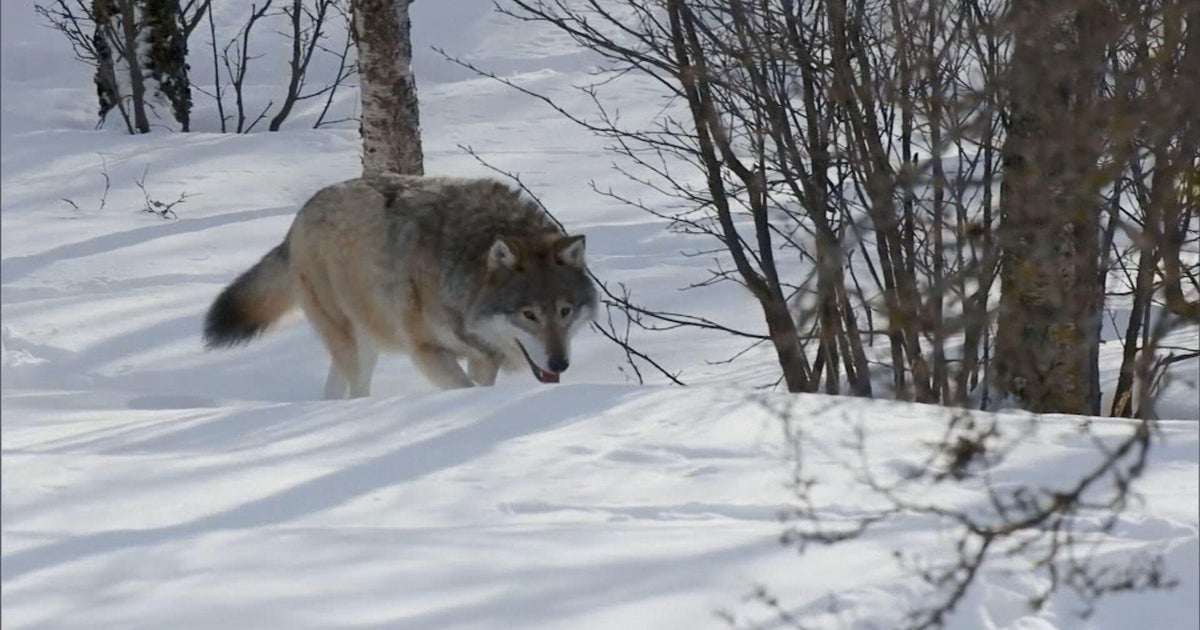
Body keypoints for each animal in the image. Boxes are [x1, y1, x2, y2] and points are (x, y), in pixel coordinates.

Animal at [203, 174, 598, 399]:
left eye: (565, 311)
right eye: (529, 314)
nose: (560, 363)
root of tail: (300, 215)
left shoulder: (484, 356)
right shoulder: (425, 351)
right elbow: (464, 390)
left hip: (365, 342)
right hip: (351, 341)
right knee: (356, 388)